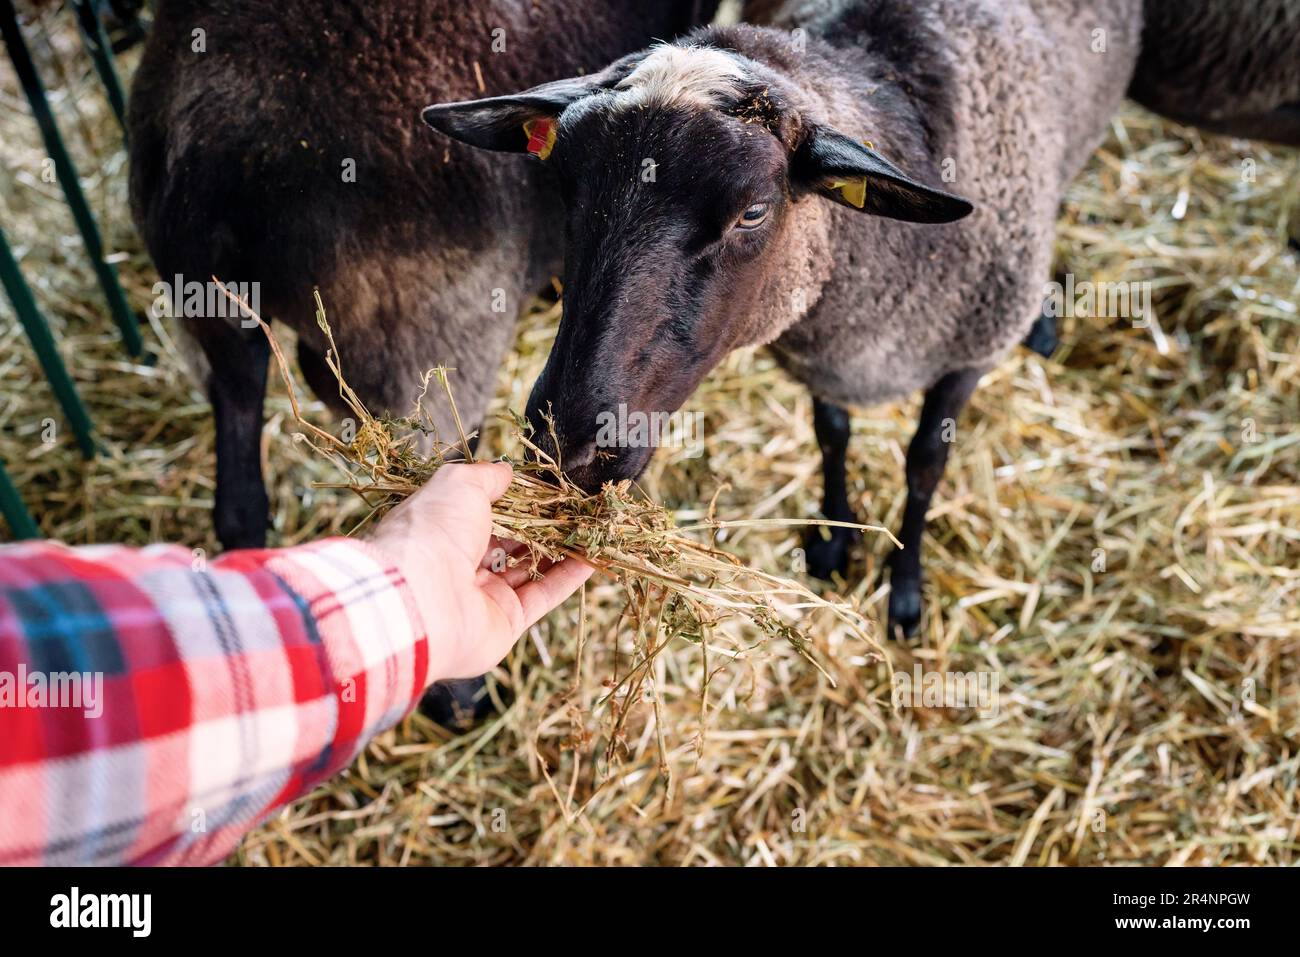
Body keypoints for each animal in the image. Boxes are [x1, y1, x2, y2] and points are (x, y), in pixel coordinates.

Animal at [422, 0, 1148, 637]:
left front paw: (905, 588)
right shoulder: (820, 360)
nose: (566, 448)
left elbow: (923, 467)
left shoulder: (968, 356)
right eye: (566, 187)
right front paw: (831, 539)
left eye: (753, 212)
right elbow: (832, 433)